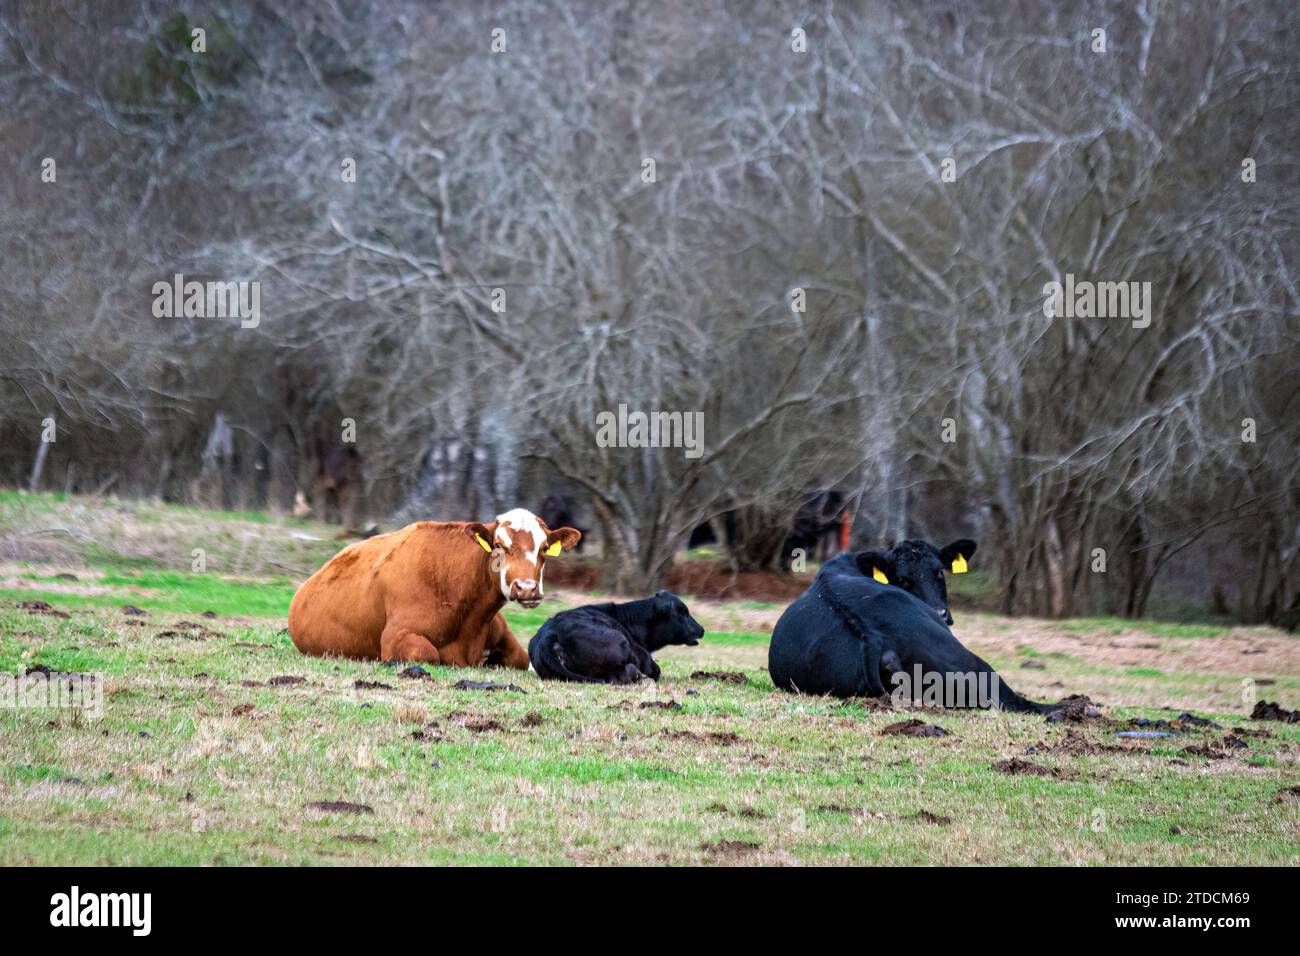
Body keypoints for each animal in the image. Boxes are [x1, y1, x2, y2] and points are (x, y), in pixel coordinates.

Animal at [287, 508, 581, 665]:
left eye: (544, 548)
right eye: (499, 545)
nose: (526, 588)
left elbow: (521, 659)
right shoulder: (395, 637)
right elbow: (428, 653)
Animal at [529, 591, 705, 683]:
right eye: (683, 613)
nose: (702, 629)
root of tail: (550, 634)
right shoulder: (644, 658)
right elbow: (656, 670)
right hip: (622, 643)